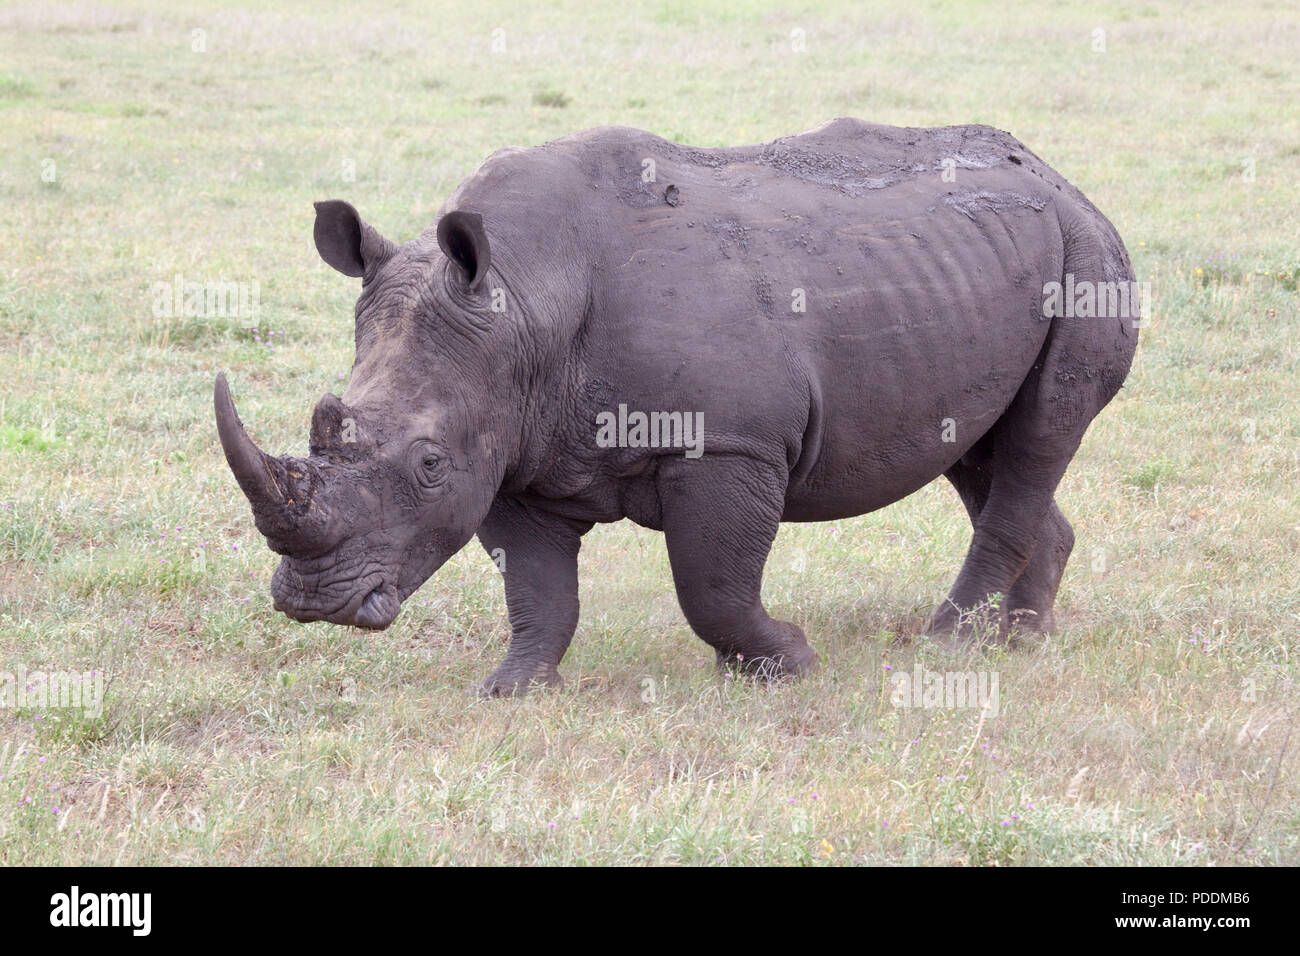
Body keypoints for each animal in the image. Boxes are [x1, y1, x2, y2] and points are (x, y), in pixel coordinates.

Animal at [215, 118, 1138, 695]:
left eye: (429, 463)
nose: (313, 603)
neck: (521, 298)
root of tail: (1065, 181)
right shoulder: (513, 447)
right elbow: (538, 590)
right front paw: (514, 690)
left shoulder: (729, 442)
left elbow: (712, 584)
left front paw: (785, 664)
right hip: (992, 265)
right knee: (983, 455)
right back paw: (1022, 639)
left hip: (1086, 258)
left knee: (1036, 441)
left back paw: (947, 643)